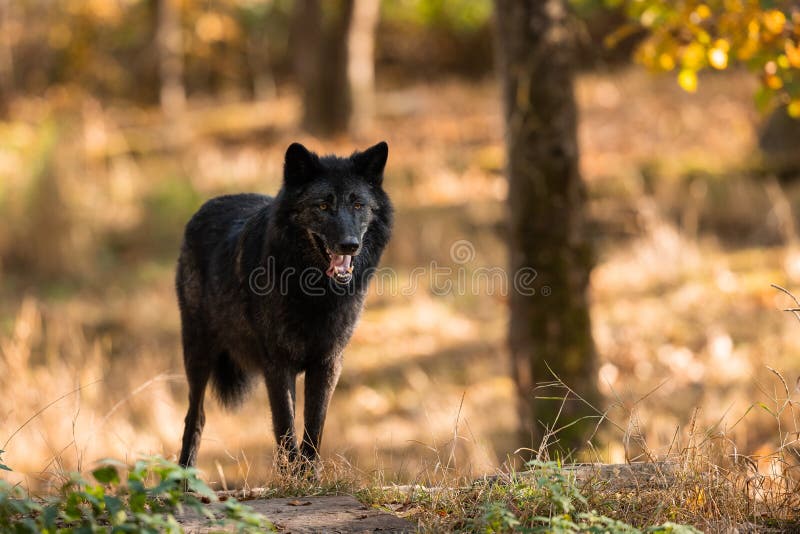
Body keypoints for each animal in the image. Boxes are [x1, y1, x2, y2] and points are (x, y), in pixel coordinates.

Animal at [175, 141, 392, 469]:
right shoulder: (277, 364)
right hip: (197, 353)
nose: (349, 244)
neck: (315, 293)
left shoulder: (328, 363)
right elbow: (286, 430)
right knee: (195, 417)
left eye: (358, 205)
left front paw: (309, 475)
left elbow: (314, 428)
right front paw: (291, 476)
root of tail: (207, 205)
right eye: (323, 206)